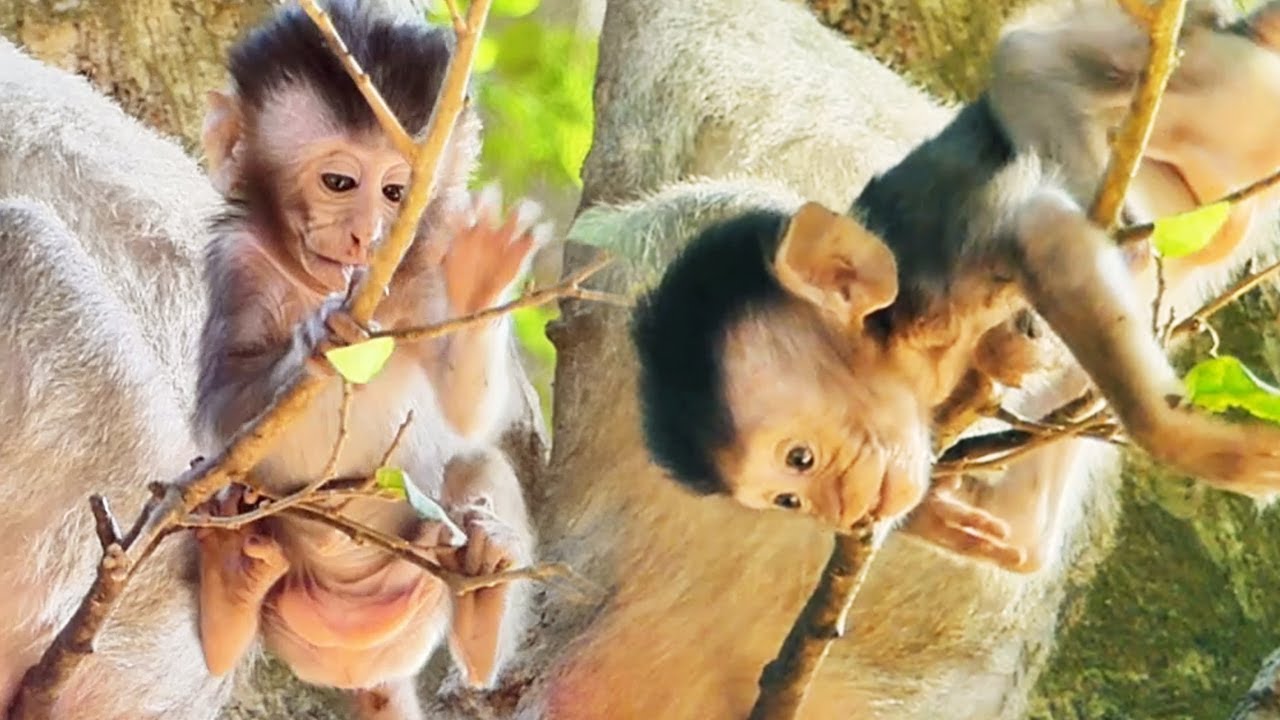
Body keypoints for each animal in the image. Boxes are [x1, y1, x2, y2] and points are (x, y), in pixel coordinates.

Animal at [189, 2, 540, 717]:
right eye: (339, 182)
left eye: (396, 193)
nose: (365, 238)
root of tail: (356, 655)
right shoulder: (237, 260)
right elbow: (221, 414)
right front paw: (318, 342)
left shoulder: (424, 274)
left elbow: (467, 416)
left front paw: (480, 275)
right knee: (224, 497)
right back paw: (230, 582)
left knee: (477, 465)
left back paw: (484, 596)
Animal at [628, 0, 1280, 565]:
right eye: (787, 500)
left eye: (800, 458)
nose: (837, 512)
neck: (910, 344)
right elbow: (1024, 541)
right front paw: (937, 513)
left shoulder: (941, 281)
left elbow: (1041, 230)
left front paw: (1192, 443)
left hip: (1224, 79)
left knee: (1041, 58)